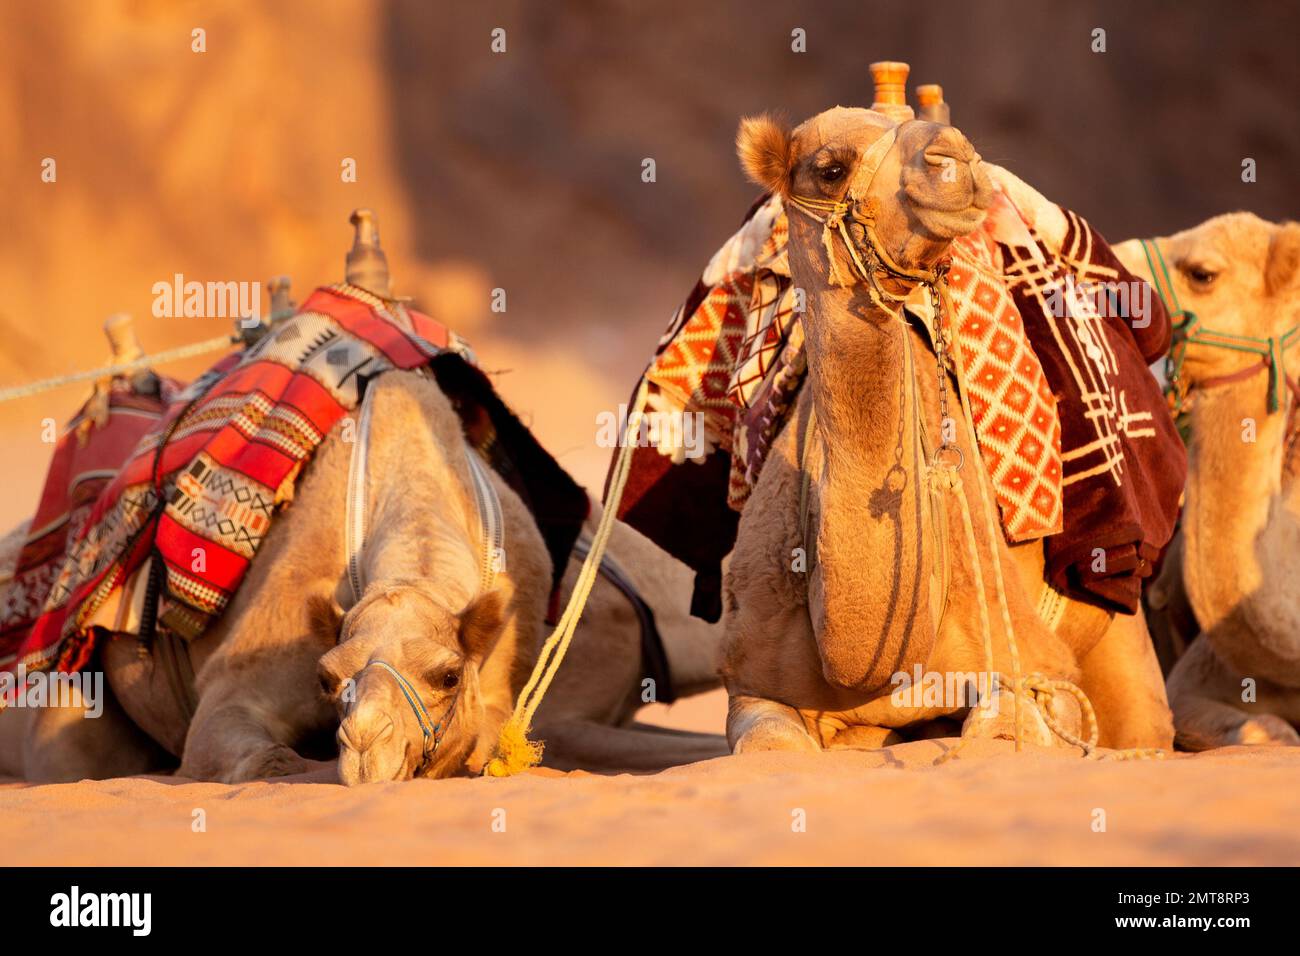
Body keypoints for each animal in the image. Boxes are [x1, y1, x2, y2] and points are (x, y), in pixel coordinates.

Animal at [720, 107, 1172, 755]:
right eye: (830, 168)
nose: (953, 156)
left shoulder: (1037, 665)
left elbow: (1002, 725)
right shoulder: (751, 681)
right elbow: (771, 745)